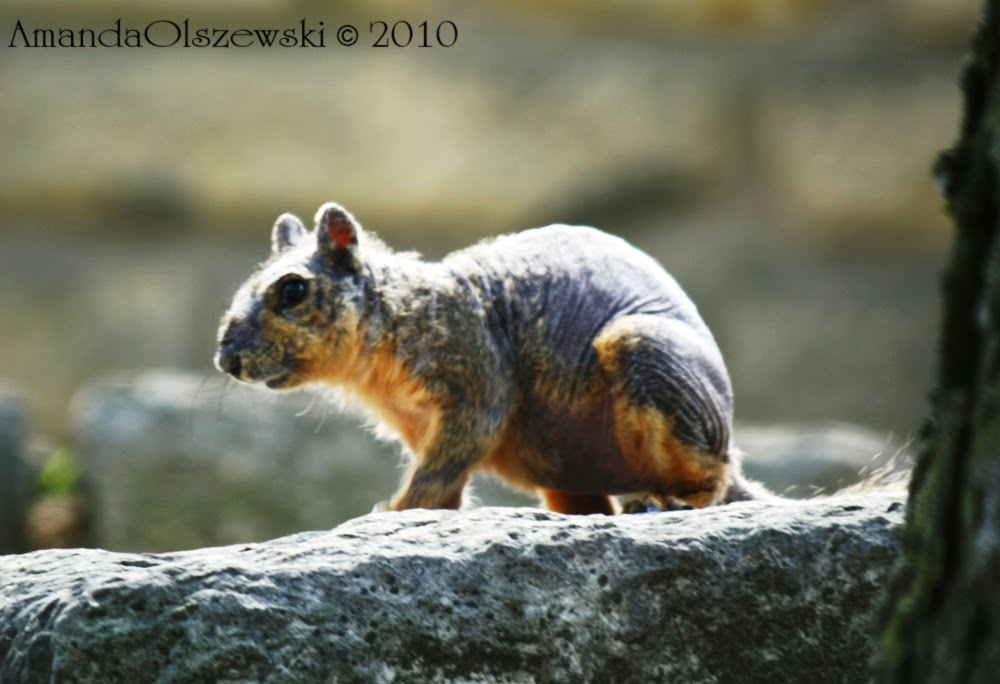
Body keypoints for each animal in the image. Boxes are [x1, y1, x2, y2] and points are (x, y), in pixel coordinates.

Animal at [215, 202, 768, 514]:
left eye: (292, 290)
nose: (226, 359)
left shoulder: (476, 373)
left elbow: (442, 465)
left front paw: (395, 511)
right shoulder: (419, 424)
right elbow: (443, 476)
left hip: (655, 365)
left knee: (712, 477)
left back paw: (672, 500)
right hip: (563, 465)